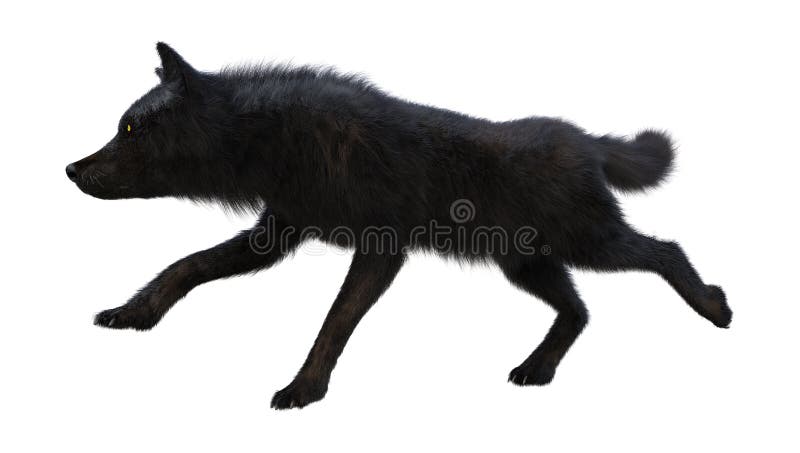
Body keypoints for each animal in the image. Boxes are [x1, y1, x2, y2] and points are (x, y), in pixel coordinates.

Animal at [66, 43, 731, 409]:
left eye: (129, 129)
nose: (71, 169)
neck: (276, 139)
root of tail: (587, 139)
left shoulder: (380, 250)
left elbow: (334, 322)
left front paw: (304, 390)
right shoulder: (274, 236)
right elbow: (184, 266)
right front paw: (133, 314)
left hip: (590, 246)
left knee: (666, 250)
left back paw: (715, 307)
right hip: (526, 265)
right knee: (580, 310)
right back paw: (536, 370)